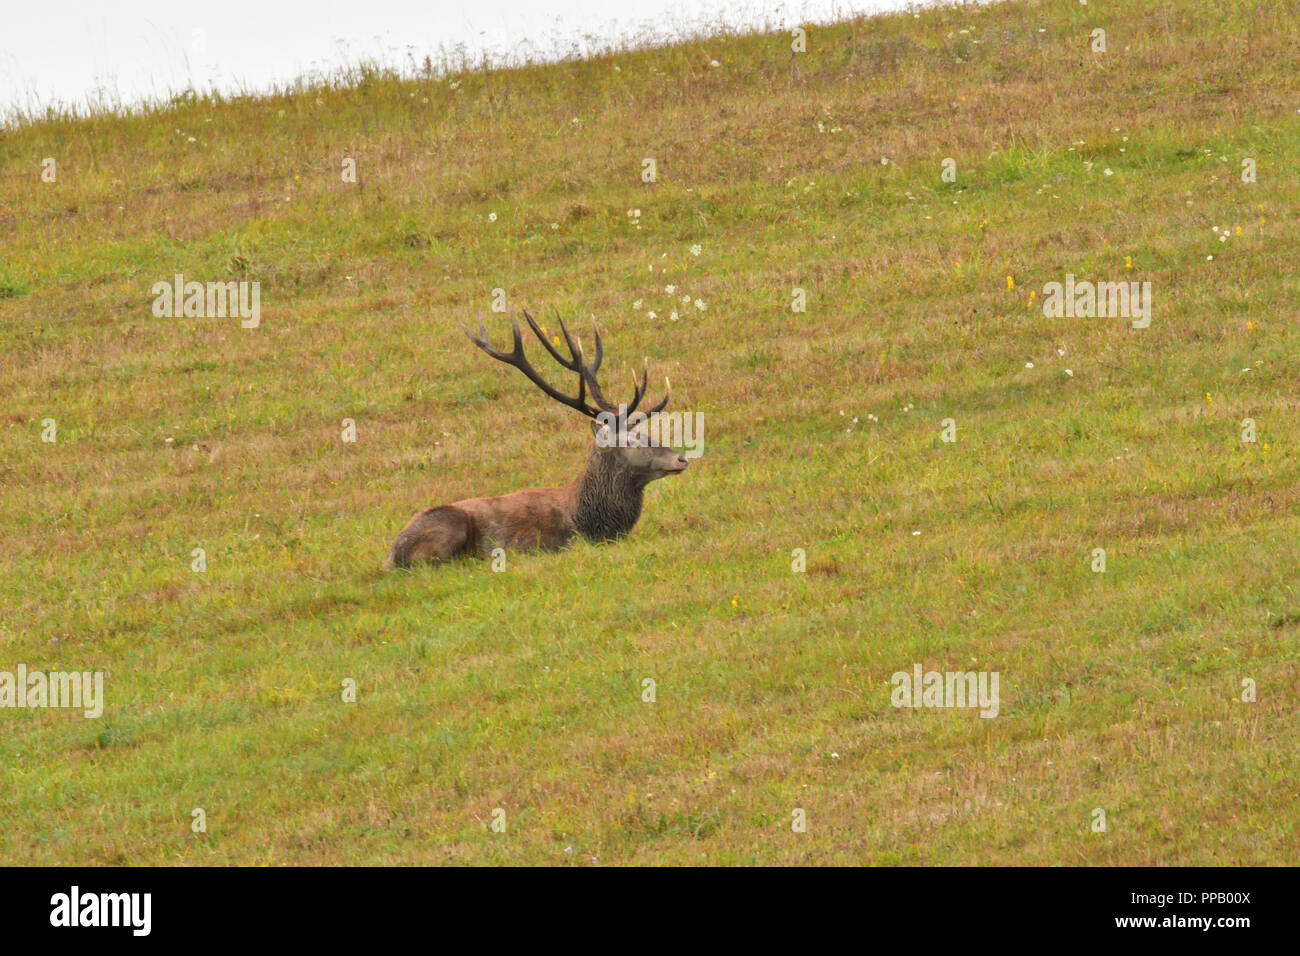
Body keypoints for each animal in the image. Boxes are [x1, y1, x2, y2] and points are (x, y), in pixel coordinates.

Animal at [383, 310, 689, 569]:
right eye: (630, 441)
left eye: (647, 433)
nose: (681, 458)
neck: (590, 521)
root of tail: (389, 556)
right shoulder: (537, 544)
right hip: (448, 526)